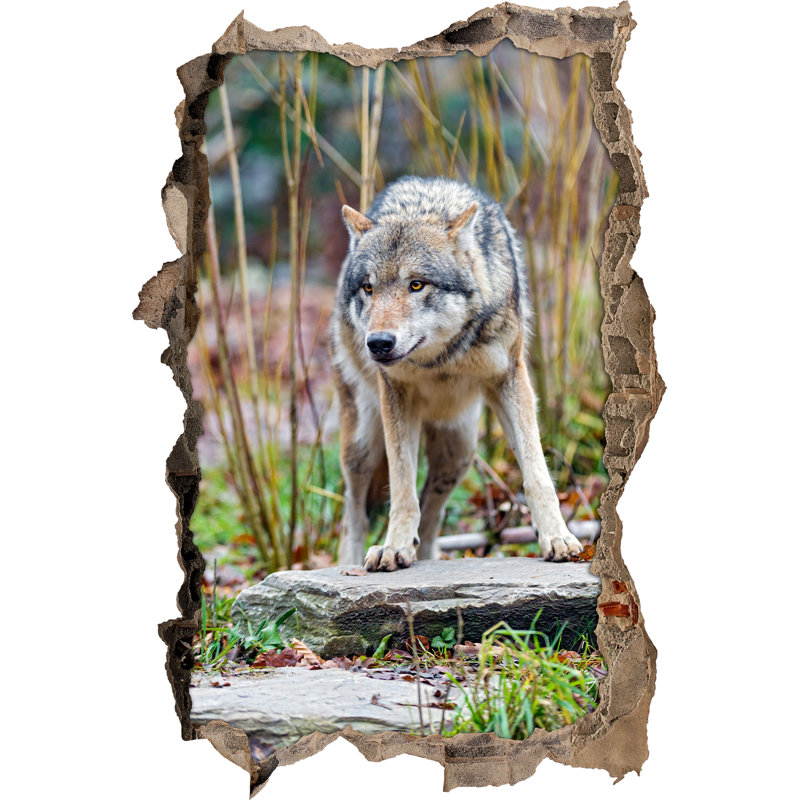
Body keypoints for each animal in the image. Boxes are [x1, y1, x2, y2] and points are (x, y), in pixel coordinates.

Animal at [330, 175, 583, 571]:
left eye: (417, 284)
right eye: (368, 288)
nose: (379, 343)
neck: (442, 360)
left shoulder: (511, 381)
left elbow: (537, 473)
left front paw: (557, 539)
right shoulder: (395, 395)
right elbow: (402, 486)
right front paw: (392, 546)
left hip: (459, 452)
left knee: (432, 517)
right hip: (361, 446)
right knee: (354, 514)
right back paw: (353, 562)